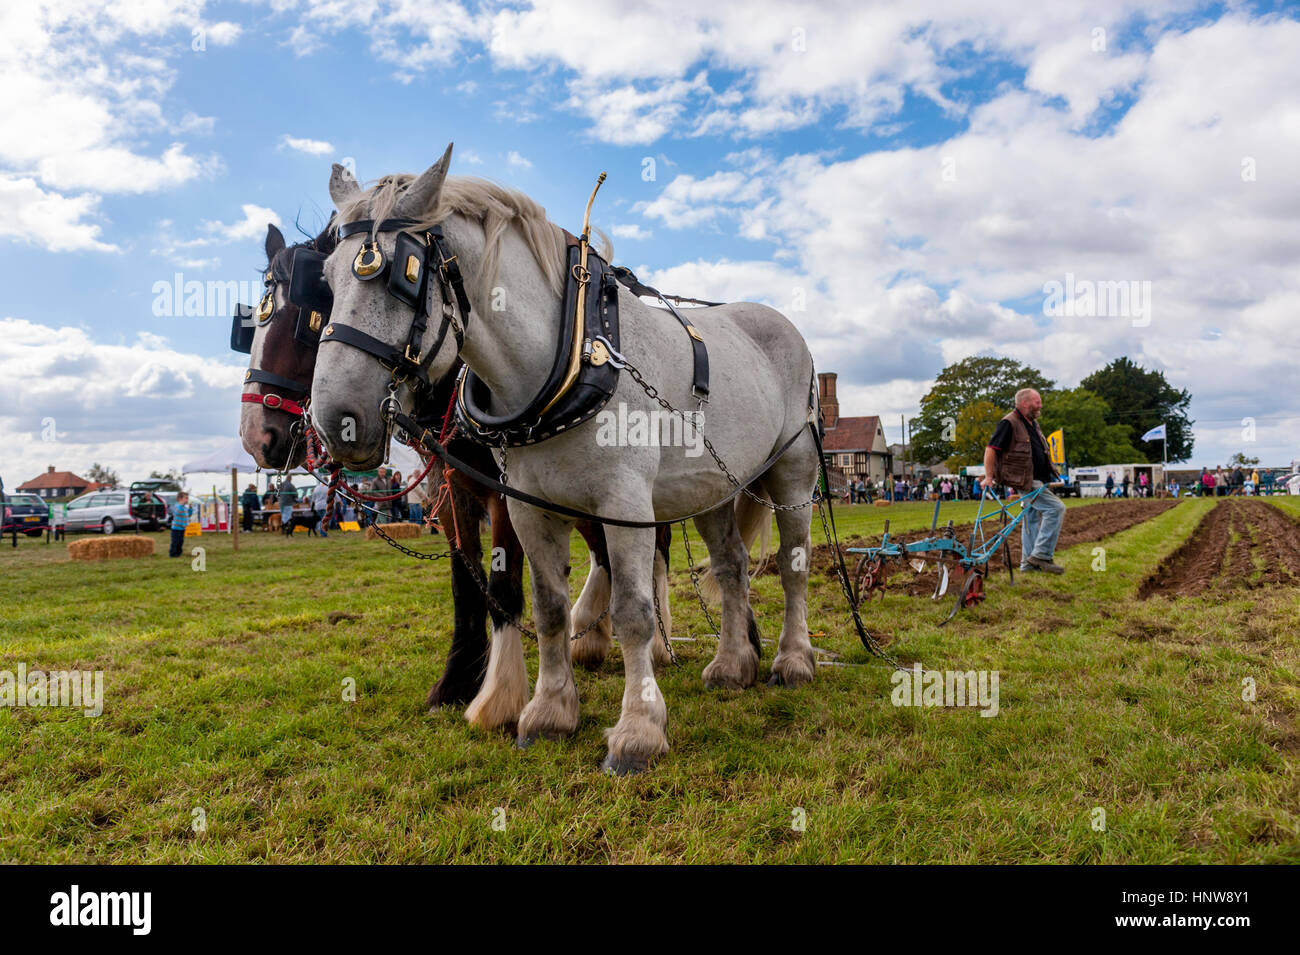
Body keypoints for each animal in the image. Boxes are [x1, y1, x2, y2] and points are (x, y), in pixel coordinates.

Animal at [234, 220, 672, 729]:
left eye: (311, 312)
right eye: (252, 326)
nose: (258, 435)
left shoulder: (507, 493)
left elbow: (502, 585)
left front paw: (500, 695)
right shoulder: (450, 488)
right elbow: (465, 581)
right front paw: (458, 679)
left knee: (655, 549)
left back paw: (658, 644)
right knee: (602, 552)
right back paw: (593, 636)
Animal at [309, 144, 820, 774]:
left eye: (401, 274)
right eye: (328, 280)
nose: (336, 419)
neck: (571, 350)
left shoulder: (625, 503)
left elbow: (633, 612)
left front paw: (638, 730)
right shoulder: (529, 507)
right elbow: (548, 608)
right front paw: (549, 713)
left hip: (793, 472)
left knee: (794, 565)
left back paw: (792, 660)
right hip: (713, 489)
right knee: (731, 567)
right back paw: (731, 666)